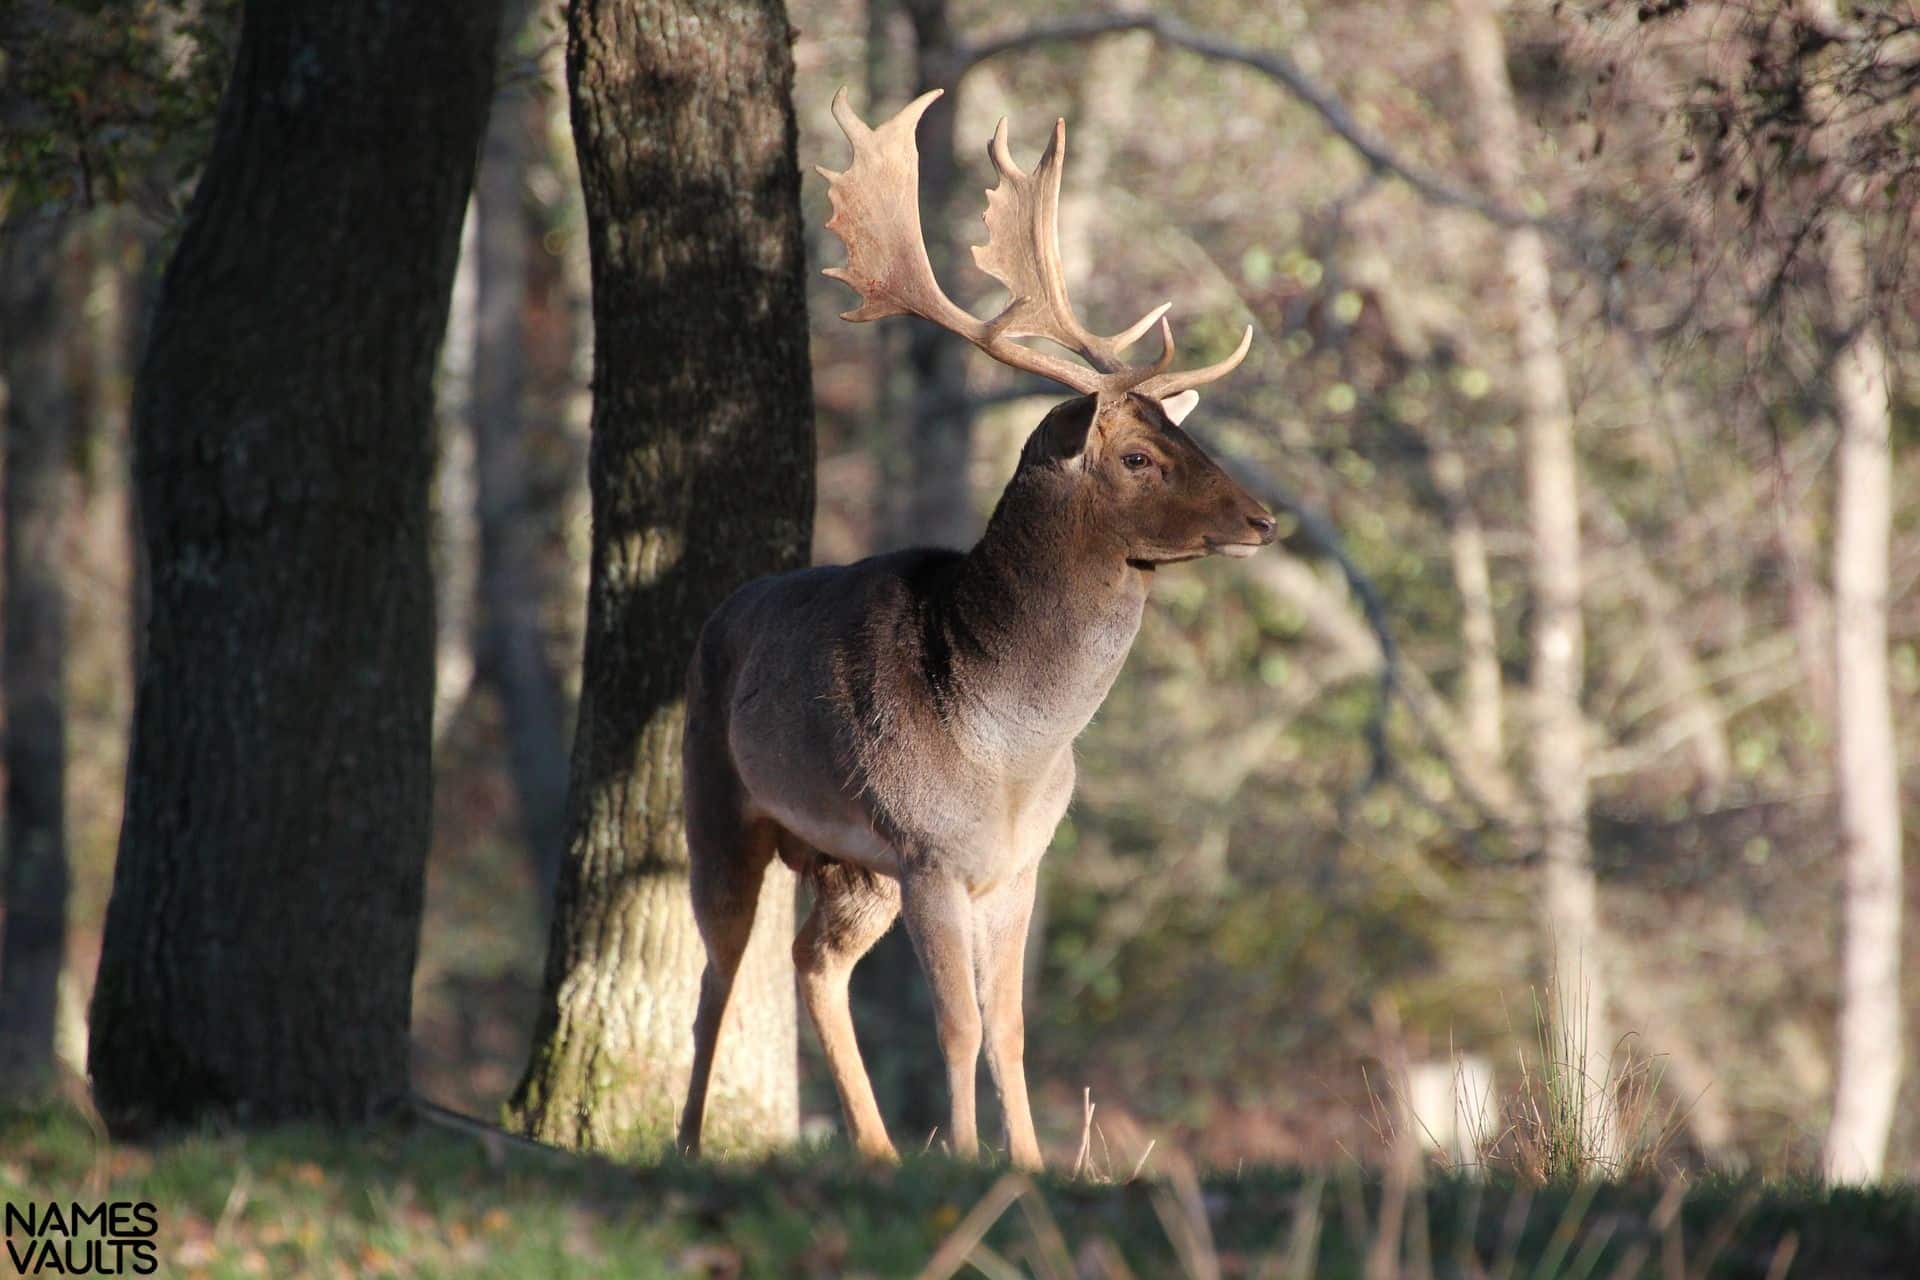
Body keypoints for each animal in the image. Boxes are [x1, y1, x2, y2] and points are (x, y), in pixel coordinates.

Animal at [676, 87, 1276, 1170]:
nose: (1263, 519)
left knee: (810, 964)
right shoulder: (928, 851)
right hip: (720, 801)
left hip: (851, 868)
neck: (1013, 748)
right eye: (1136, 455)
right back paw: (693, 1139)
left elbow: (1012, 1029)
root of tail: (724, 611)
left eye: (1187, 431)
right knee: (717, 975)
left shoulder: (1019, 865)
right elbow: (956, 1024)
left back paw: (874, 1150)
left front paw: (1030, 1165)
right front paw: (960, 1154)